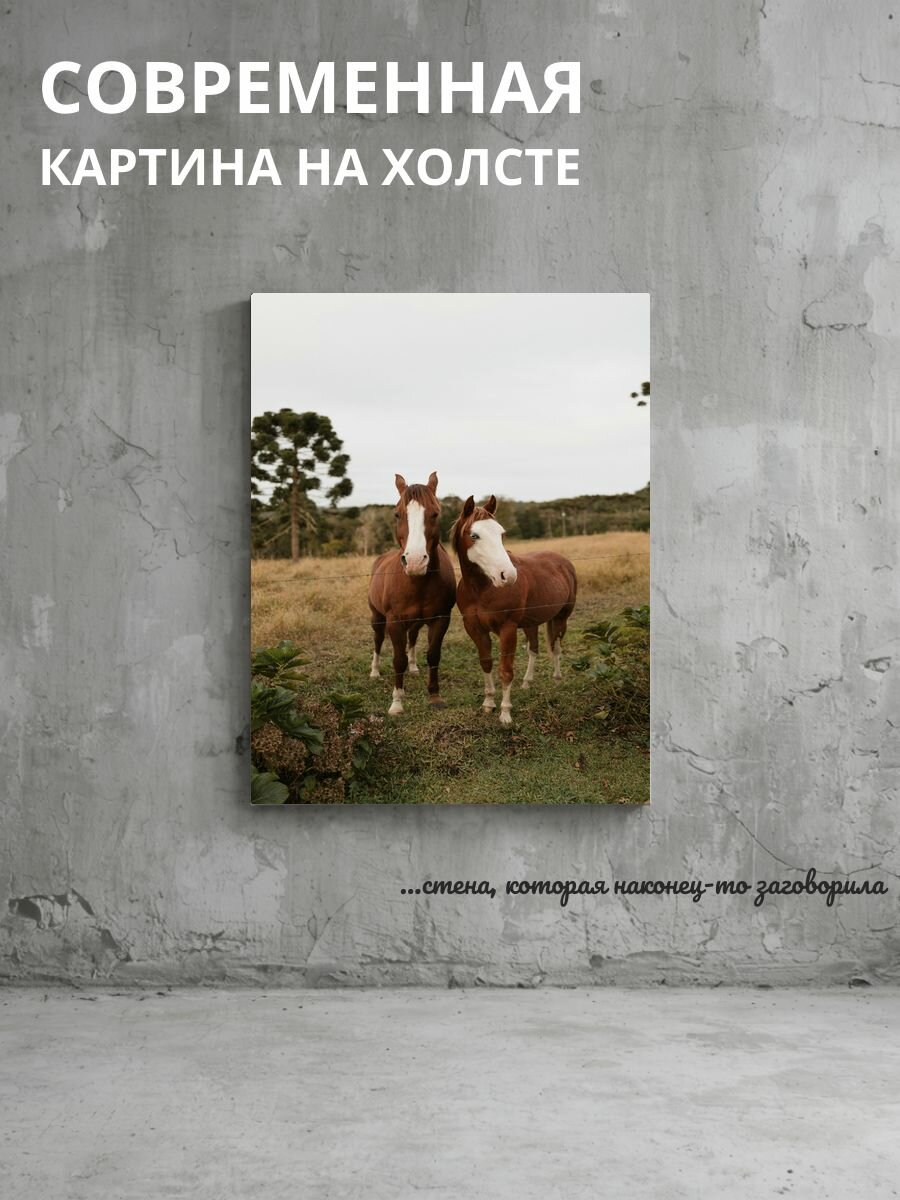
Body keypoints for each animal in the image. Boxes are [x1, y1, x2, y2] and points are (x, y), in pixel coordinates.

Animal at [367, 472, 457, 716]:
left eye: (435, 513)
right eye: (397, 514)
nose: (415, 562)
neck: (418, 582)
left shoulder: (441, 618)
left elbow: (433, 655)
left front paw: (435, 696)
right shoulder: (394, 621)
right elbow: (398, 660)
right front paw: (397, 703)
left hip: (416, 622)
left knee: (413, 638)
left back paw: (414, 666)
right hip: (377, 617)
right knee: (378, 640)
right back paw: (374, 671)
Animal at [451, 495, 577, 725]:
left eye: (501, 534)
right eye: (474, 535)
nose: (508, 576)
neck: (481, 589)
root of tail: (564, 562)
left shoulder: (507, 629)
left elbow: (506, 670)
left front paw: (505, 713)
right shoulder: (474, 629)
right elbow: (486, 664)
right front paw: (488, 703)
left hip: (561, 618)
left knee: (555, 646)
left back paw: (557, 678)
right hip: (531, 623)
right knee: (534, 648)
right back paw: (527, 682)